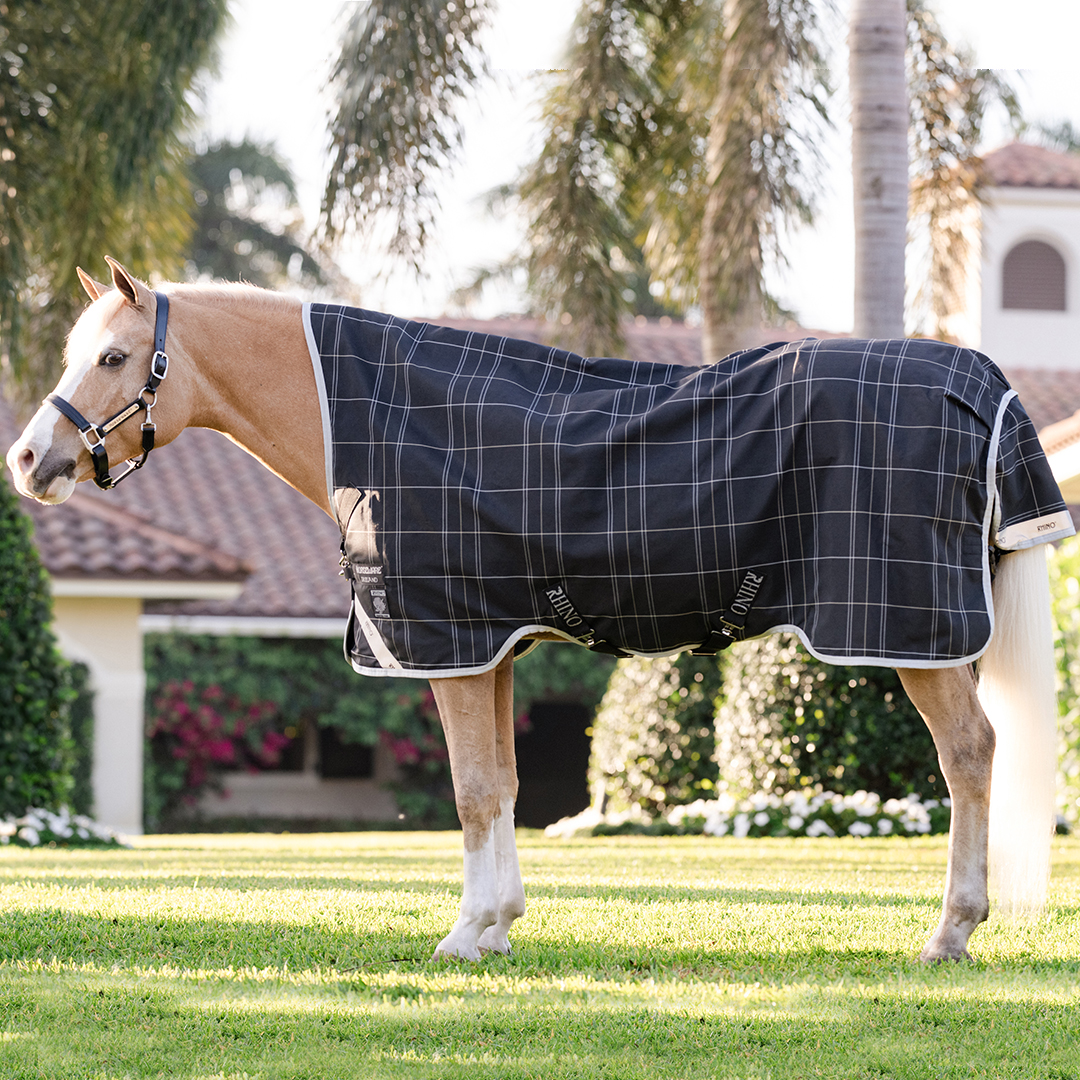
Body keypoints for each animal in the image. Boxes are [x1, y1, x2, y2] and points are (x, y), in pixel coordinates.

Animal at [6, 258, 1072, 963]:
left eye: (113, 357)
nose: (28, 459)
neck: (374, 419)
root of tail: (977, 381)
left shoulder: (445, 643)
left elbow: (473, 790)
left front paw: (465, 935)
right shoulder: (496, 647)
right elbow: (506, 784)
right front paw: (499, 926)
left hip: (912, 631)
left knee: (969, 752)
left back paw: (949, 933)